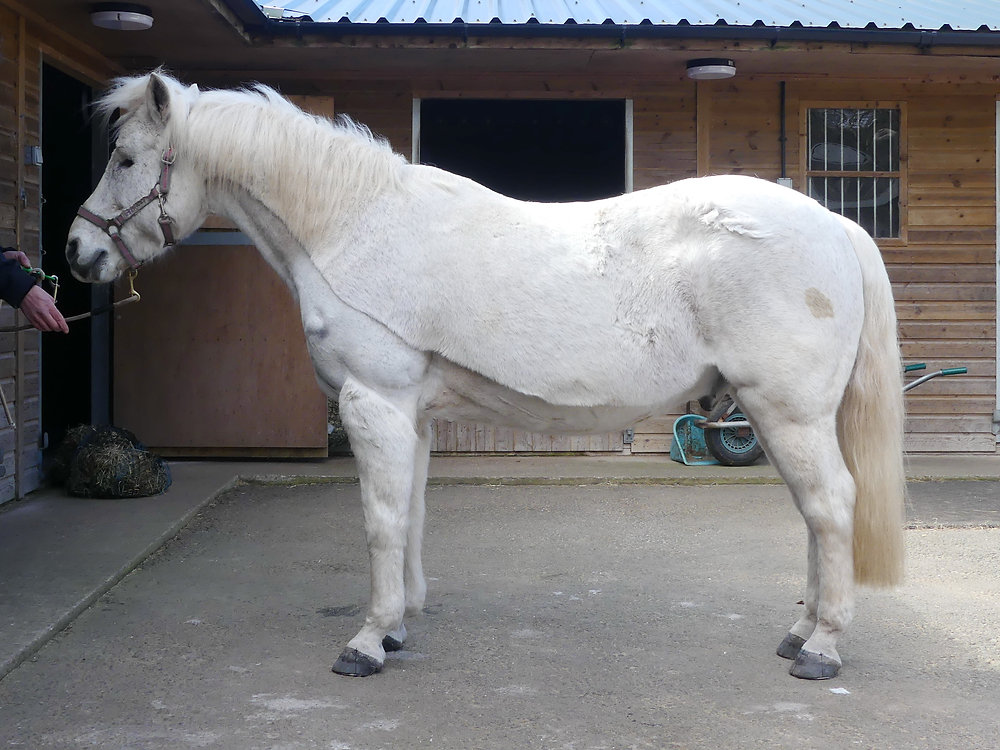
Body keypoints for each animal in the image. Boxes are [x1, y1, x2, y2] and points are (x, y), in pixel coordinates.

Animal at [65, 71, 905, 680]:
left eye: (127, 161)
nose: (78, 252)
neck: (354, 225)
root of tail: (835, 223)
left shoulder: (374, 403)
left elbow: (380, 520)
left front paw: (367, 643)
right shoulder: (411, 414)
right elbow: (409, 518)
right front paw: (398, 626)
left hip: (786, 413)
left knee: (831, 506)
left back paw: (821, 649)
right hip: (784, 415)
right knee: (815, 515)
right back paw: (800, 631)